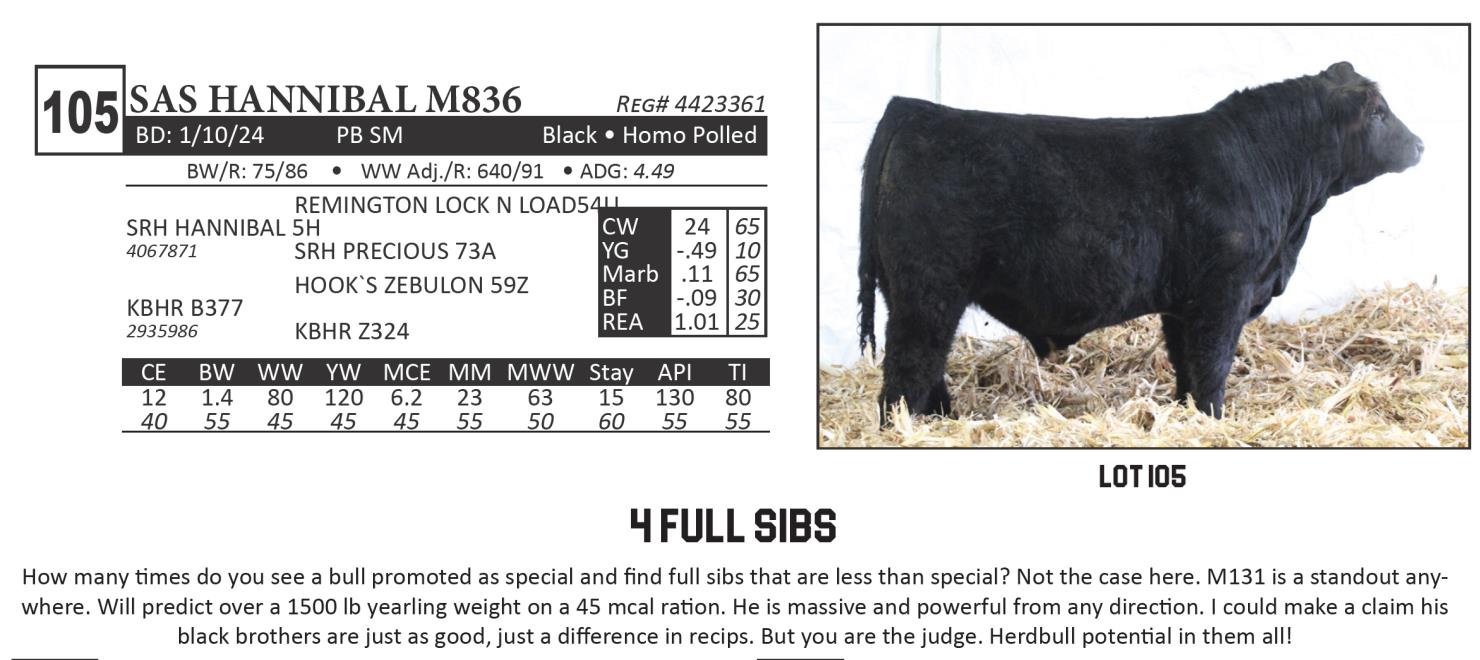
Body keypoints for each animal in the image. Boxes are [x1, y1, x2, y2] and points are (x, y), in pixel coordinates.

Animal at [857, 62, 1423, 421]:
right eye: (1378, 112)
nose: (1419, 144)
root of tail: (913, 110)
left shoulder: (1184, 301)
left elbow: (1187, 363)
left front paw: (1188, 413)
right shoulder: (1224, 292)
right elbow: (1213, 361)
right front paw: (1215, 418)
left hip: (910, 293)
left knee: (927, 366)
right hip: (927, 291)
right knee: (908, 369)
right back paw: (907, 427)